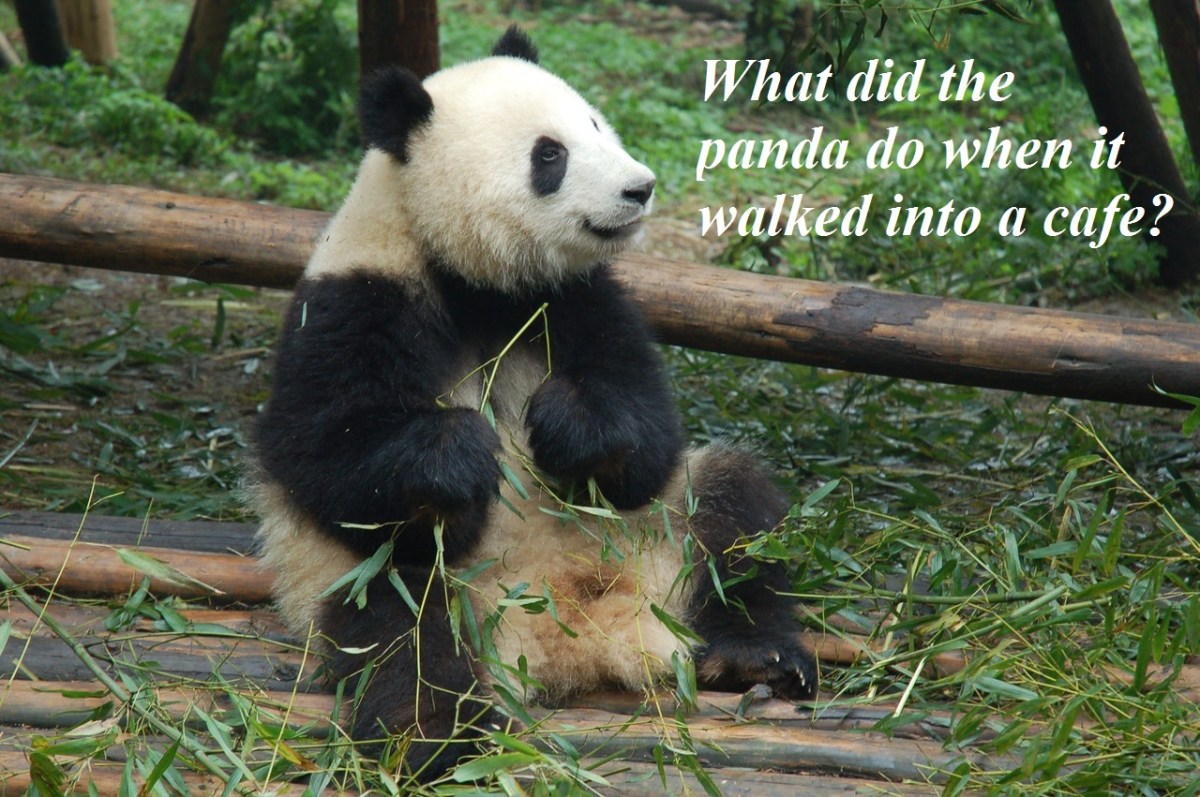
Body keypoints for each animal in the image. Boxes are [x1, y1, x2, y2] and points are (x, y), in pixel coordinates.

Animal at [249, 26, 817, 780]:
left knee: (735, 512)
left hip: (667, 528)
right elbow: (322, 454)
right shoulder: (353, 301)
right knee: (403, 620)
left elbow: (648, 427)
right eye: (550, 155)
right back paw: (437, 740)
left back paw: (756, 655)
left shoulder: (583, 299)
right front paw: (457, 450)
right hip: (388, 581)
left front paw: (570, 424)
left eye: (596, 124)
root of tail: (576, 639)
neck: (480, 283)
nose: (639, 187)